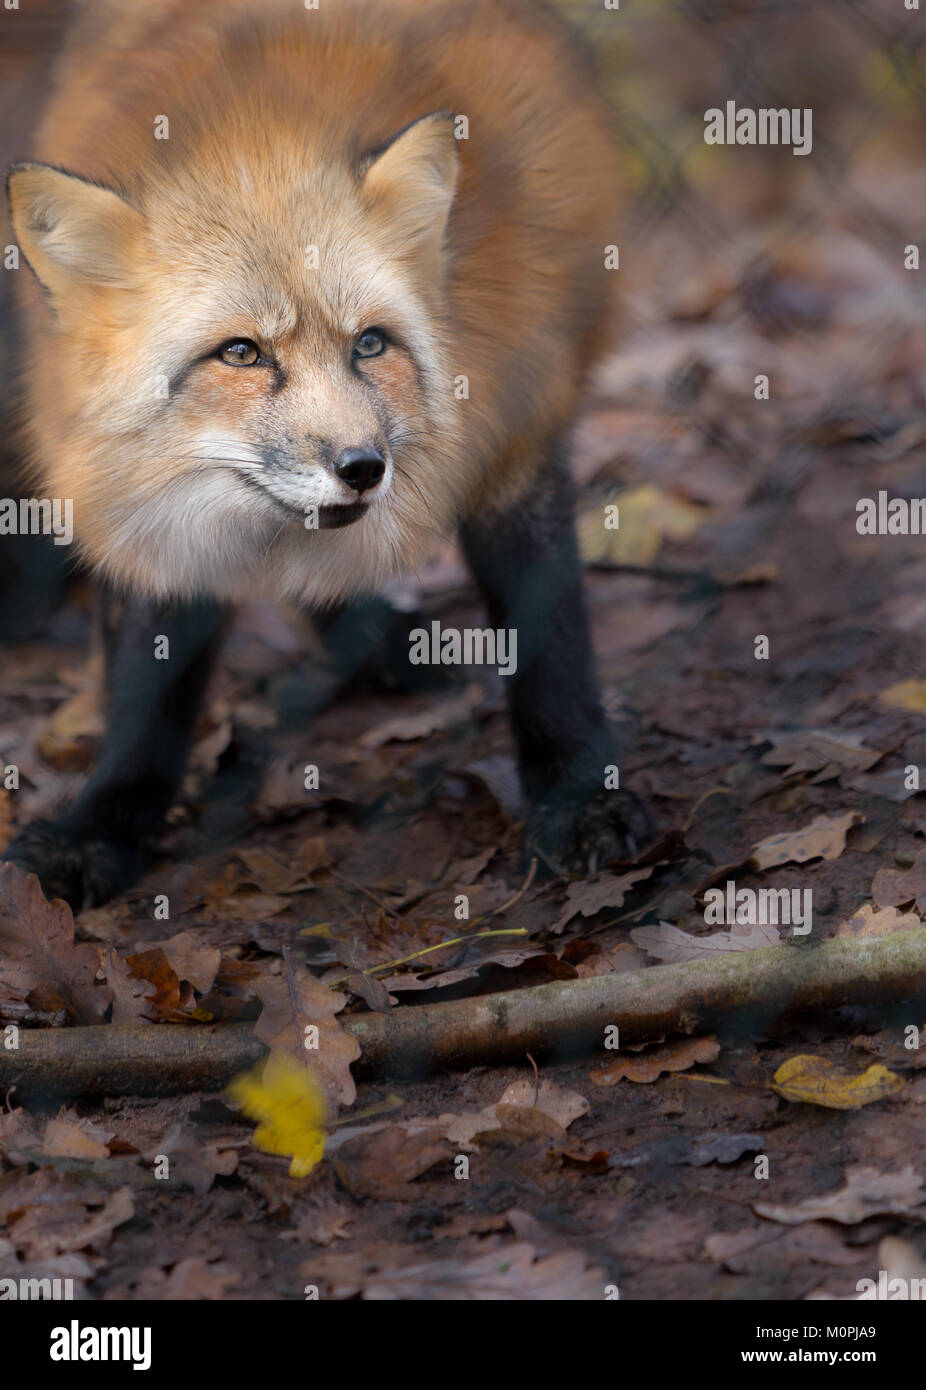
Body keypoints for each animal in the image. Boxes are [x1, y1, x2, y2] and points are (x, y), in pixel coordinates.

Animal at [2, 0, 646, 909]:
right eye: (241, 354)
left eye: (370, 344)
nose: (362, 467)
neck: (258, 135)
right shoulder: (146, 495)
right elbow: (145, 691)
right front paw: (101, 827)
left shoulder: (519, 440)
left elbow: (550, 639)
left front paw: (579, 794)